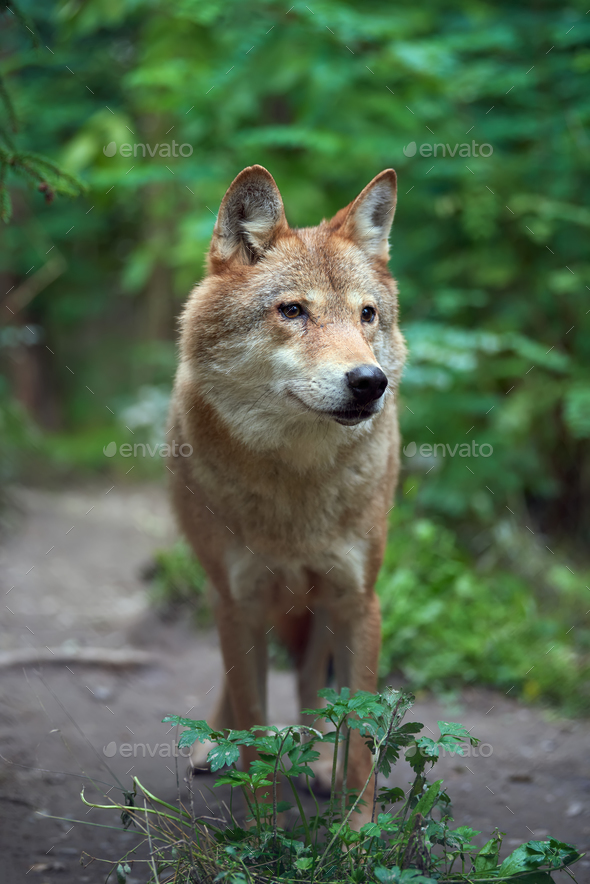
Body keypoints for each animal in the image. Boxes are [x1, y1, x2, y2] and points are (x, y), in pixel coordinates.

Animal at [168, 164, 406, 812]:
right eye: (293, 310)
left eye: (367, 315)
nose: (370, 381)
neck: (297, 485)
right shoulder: (240, 603)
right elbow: (253, 725)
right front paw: (262, 824)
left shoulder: (358, 601)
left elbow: (361, 742)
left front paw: (355, 830)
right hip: (226, 598)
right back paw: (213, 745)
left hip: (319, 610)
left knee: (310, 686)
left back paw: (318, 763)